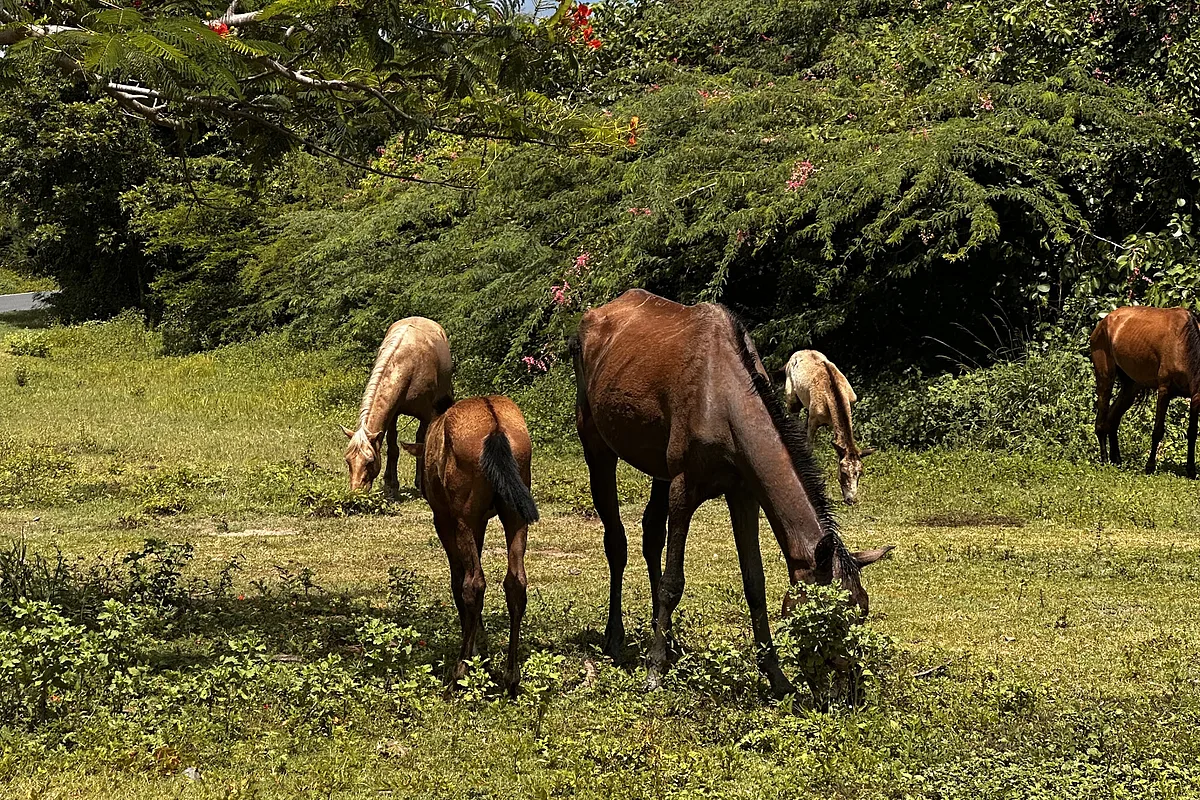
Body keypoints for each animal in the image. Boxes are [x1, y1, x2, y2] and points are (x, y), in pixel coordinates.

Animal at [343, 317, 454, 496]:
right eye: (348, 460)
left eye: (370, 461)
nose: (356, 492)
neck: (408, 366)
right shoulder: (393, 414)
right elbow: (392, 447)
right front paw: (391, 484)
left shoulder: (426, 415)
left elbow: (421, 443)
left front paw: (420, 482)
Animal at [400, 396, 538, 694]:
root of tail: (496, 428)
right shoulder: (481, 522)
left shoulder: (445, 519)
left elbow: (458, 580)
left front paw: (474, 652)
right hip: (515, 514)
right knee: (516, 582)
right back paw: (511, 677)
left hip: (464, 517)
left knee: (473, 584)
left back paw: (458, 672)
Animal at [783, 349, 875, 504]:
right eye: (843, 472)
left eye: (860, 473)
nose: (850, 499)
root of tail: (798, 352)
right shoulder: (813, 420)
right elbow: (809, 447)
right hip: (791, 397)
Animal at [1090, 305, 1200, 478]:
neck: (1184, 345)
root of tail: (1104, 320)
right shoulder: (1164, 391)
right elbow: (1157, 431)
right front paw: (1150, 466)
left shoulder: (1194, 398)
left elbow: (1192, 433)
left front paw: (1191, 470)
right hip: (1105, 379)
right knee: (1101, 423)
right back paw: (1105, 459)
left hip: (1131, 388)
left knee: (1112, 419)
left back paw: (1117, 460)